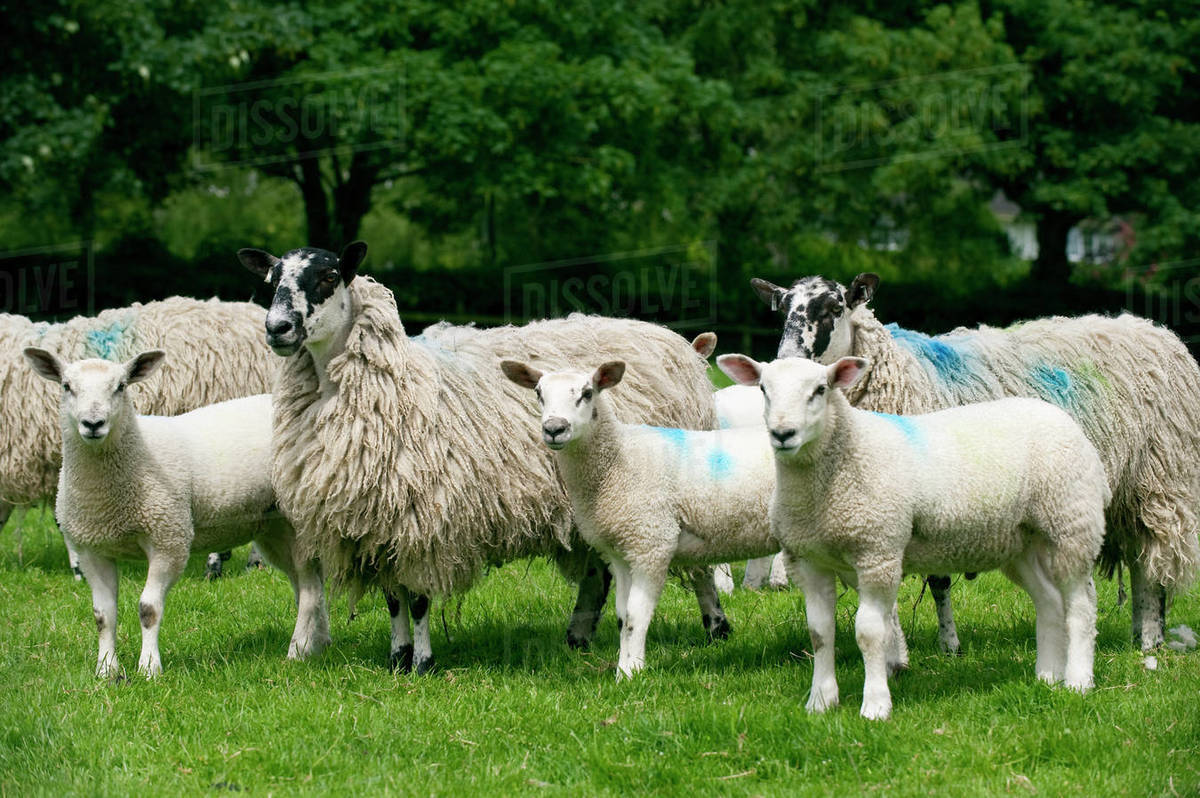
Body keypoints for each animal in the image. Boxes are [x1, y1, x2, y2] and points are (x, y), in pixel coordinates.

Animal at [22, 347, 329, 678]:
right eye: (67, 386)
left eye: (121, 386)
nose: (93, 423)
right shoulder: (92, 548)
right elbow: (102, 615)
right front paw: (106, 671)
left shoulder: (168, 537)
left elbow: (148, 608)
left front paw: (149, 668)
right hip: (274, 528)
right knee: (307, 584)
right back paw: (319, 642)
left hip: (301, 522)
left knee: (310, 589)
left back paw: (297, 650)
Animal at [236, 242, 730, 673]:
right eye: (271, 280)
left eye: (328, 276)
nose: (277, 329)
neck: (396, 383)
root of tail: (672, 340)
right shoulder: (379, 525)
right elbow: (394, 600)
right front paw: (396, 659)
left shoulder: (424, 523)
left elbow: (418, 599)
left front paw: (422, 663)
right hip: (596, 495)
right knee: (598, 572)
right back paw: (578, 637)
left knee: (700, 566)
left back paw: (716, 627)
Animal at [501, 359, 779, 678]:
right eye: (538, 393)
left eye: (587, 393)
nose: (554, 429)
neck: (619, 459)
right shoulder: (621, 553)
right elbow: (623, 615)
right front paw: (623, 667)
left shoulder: (651, 542)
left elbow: (636, 614)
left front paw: (631, 672)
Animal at [720, 353, 1108, 719]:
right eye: (763, 389)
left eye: (820, 389)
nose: (783, 434)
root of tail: (1058, 414)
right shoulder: (809, 559)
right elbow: (819, 632)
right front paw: (820, 702)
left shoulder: (878, 551)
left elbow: (870, 633)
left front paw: (875, 706)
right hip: (1020, 542)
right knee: (1049, 602)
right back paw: (1047, 677)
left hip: (1071, 524)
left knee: (1081, 606)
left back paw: (1077, 681)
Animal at [751, 273, 1200, 651]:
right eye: (782, 308)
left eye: (834, 307)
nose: (785, 364)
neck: (901, 375)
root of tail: (1154, 330)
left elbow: (938, 580)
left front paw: (949, 646)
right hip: (1124, 492)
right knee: (1141, 560)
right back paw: (1142, 634)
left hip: (1160, 480)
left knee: (1155, 563)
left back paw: (1151, 640)